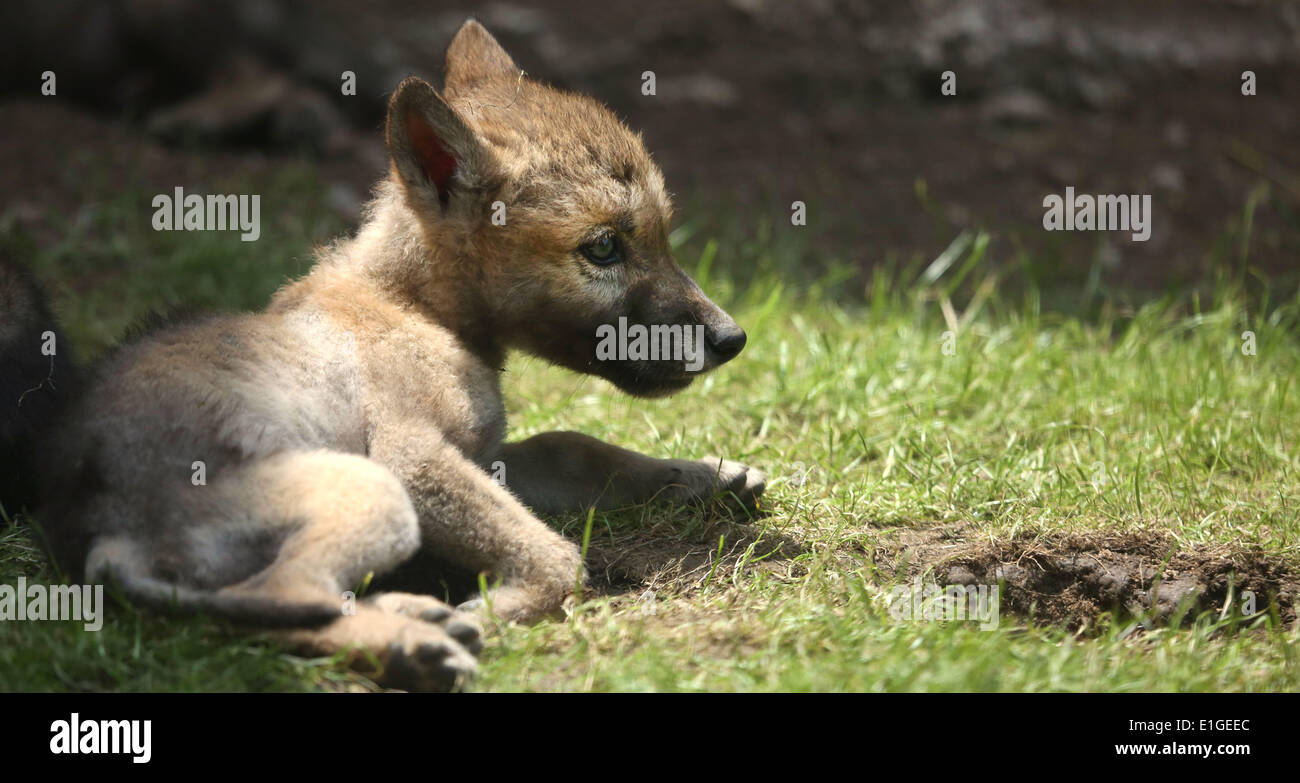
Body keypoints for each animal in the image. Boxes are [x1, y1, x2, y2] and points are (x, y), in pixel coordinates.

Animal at [24, 20, 765, 691]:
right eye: (604, 247)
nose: (732, 339)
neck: (413, 303)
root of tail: (105, 536)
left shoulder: (484, 456)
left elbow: (577, 446)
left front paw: (711, 473)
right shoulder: (413, 456)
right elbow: (556, 557)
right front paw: (504, 606)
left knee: (261, 612)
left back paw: (416, 625)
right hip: (370, 491)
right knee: (280, 596)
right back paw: (420, 639)